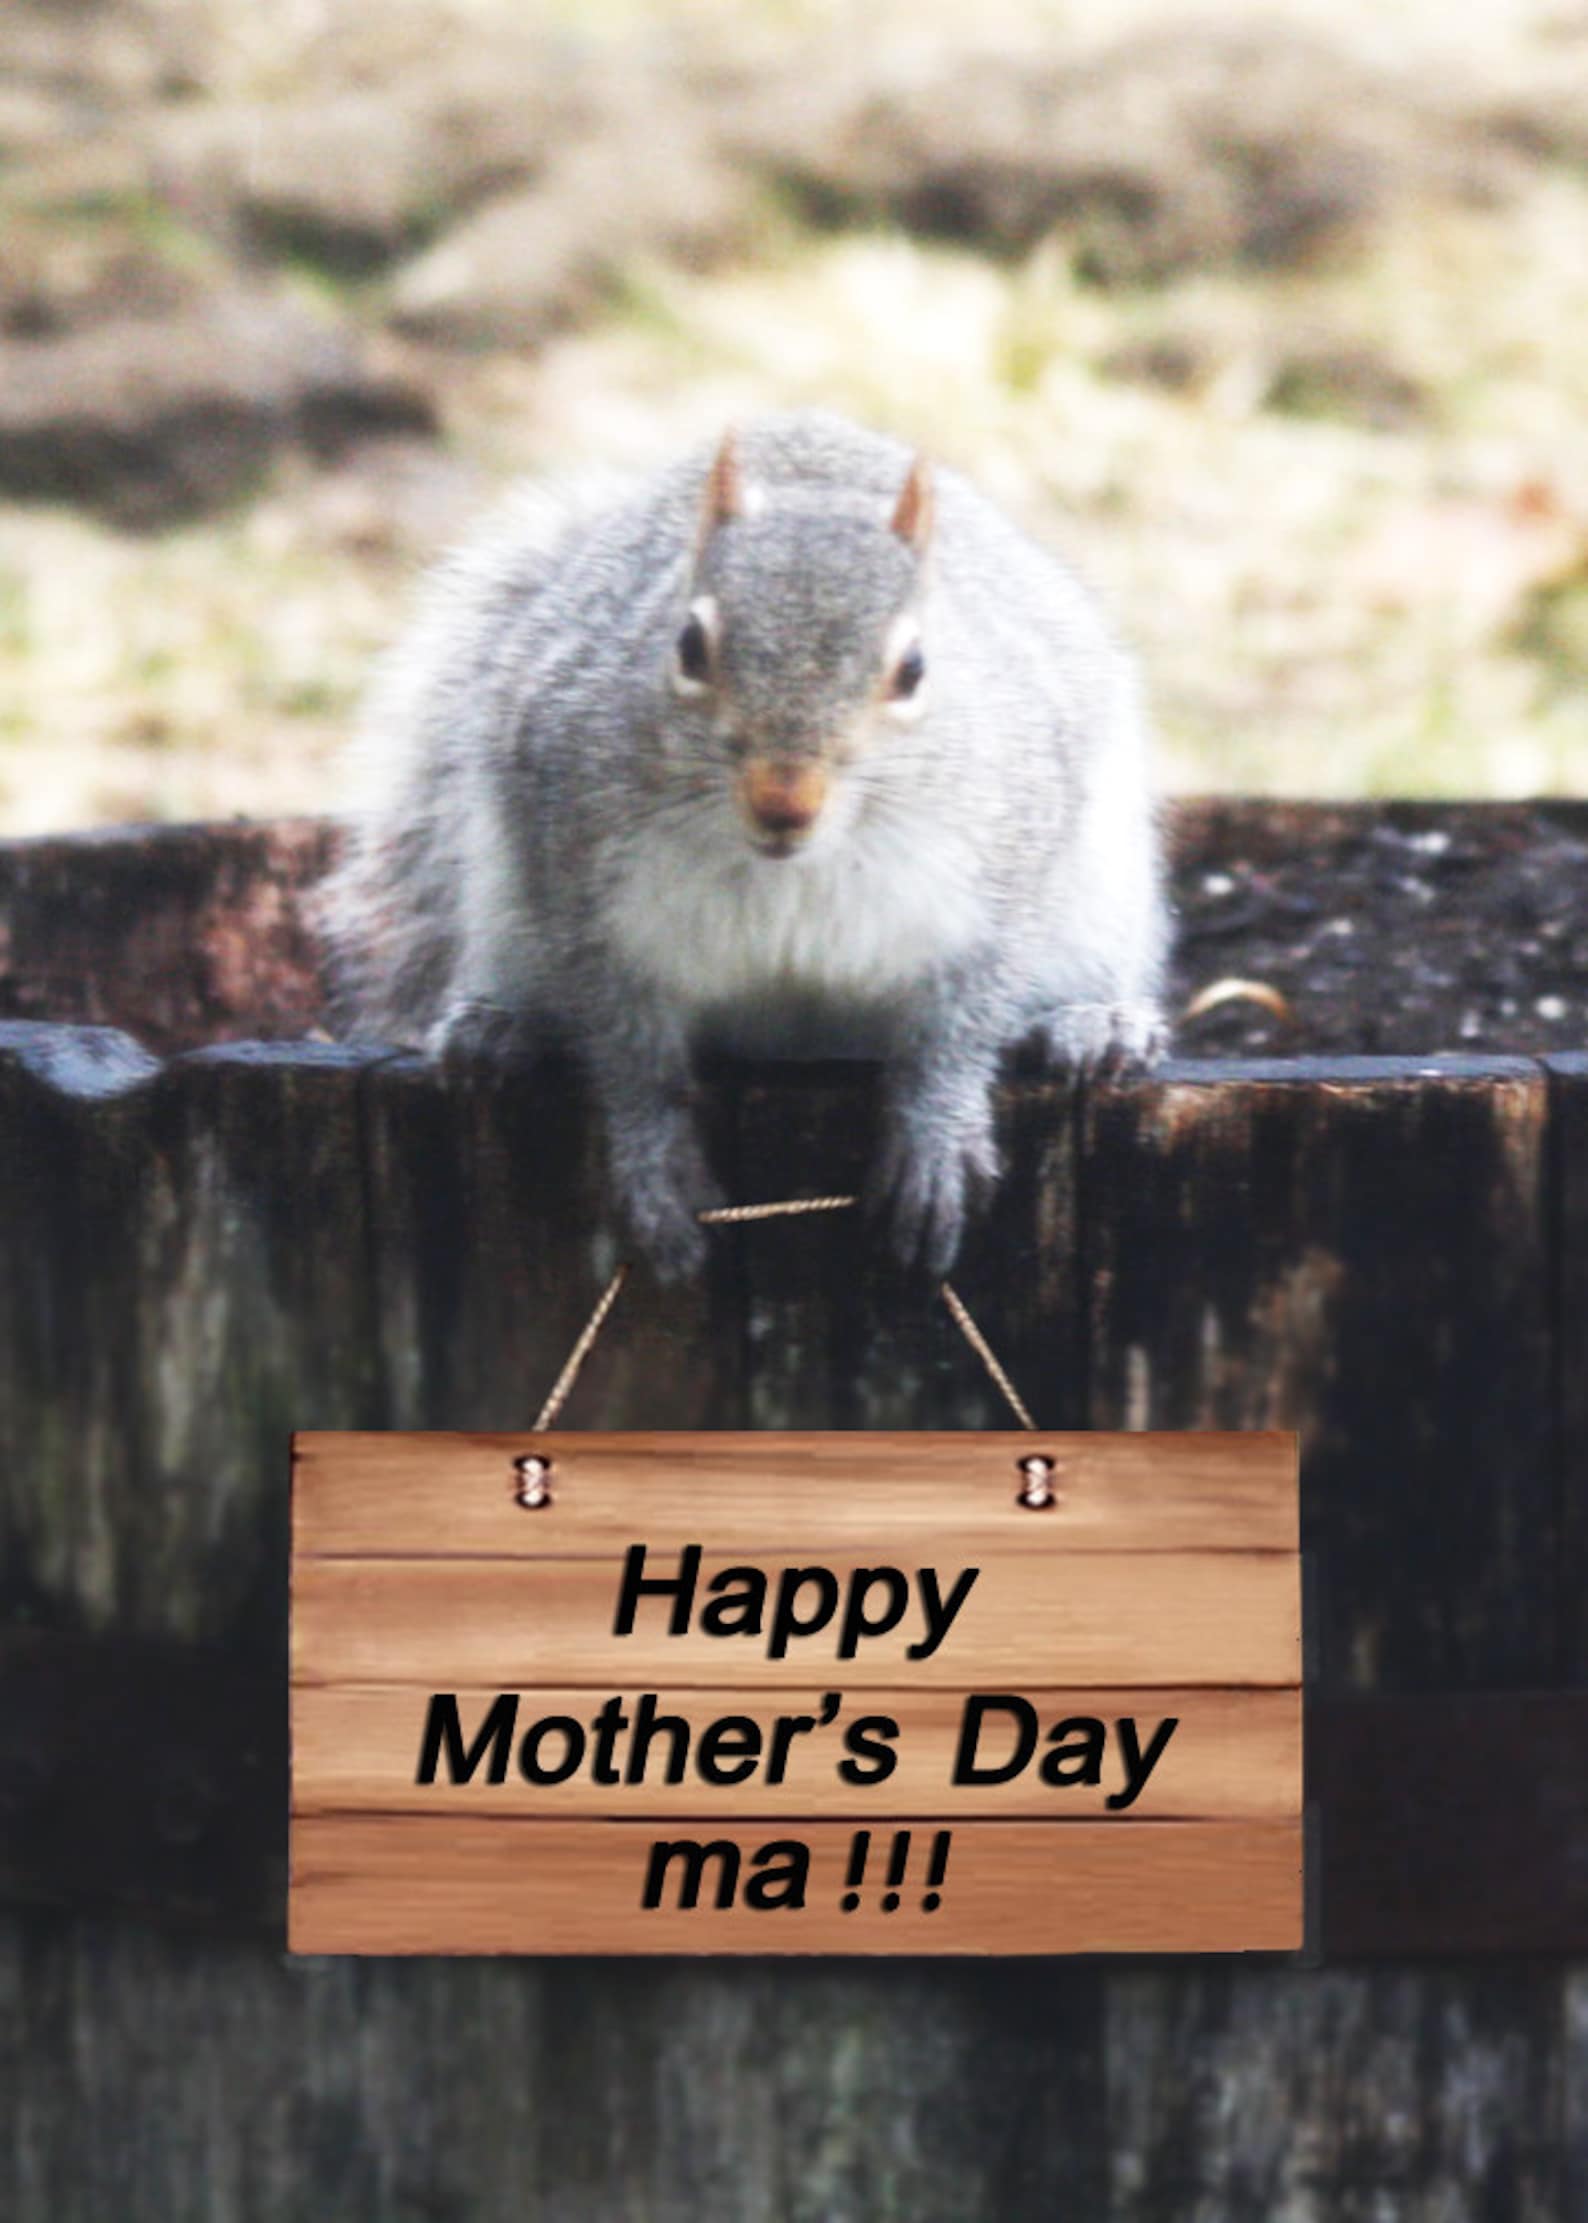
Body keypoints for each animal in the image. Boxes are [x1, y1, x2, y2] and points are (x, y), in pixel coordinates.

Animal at [322, 409, 1167, 1280]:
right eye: (688, 645)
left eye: (914, 668)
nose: (783, 800)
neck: (798, 866)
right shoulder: (578, 887)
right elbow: (628, 1049)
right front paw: (653, 1158)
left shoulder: (1002, 876)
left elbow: (961, 1024)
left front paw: (937, 1133)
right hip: (499, 907)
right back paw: (498, 1029)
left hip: (1102, 898)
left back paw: (1096, 1024)